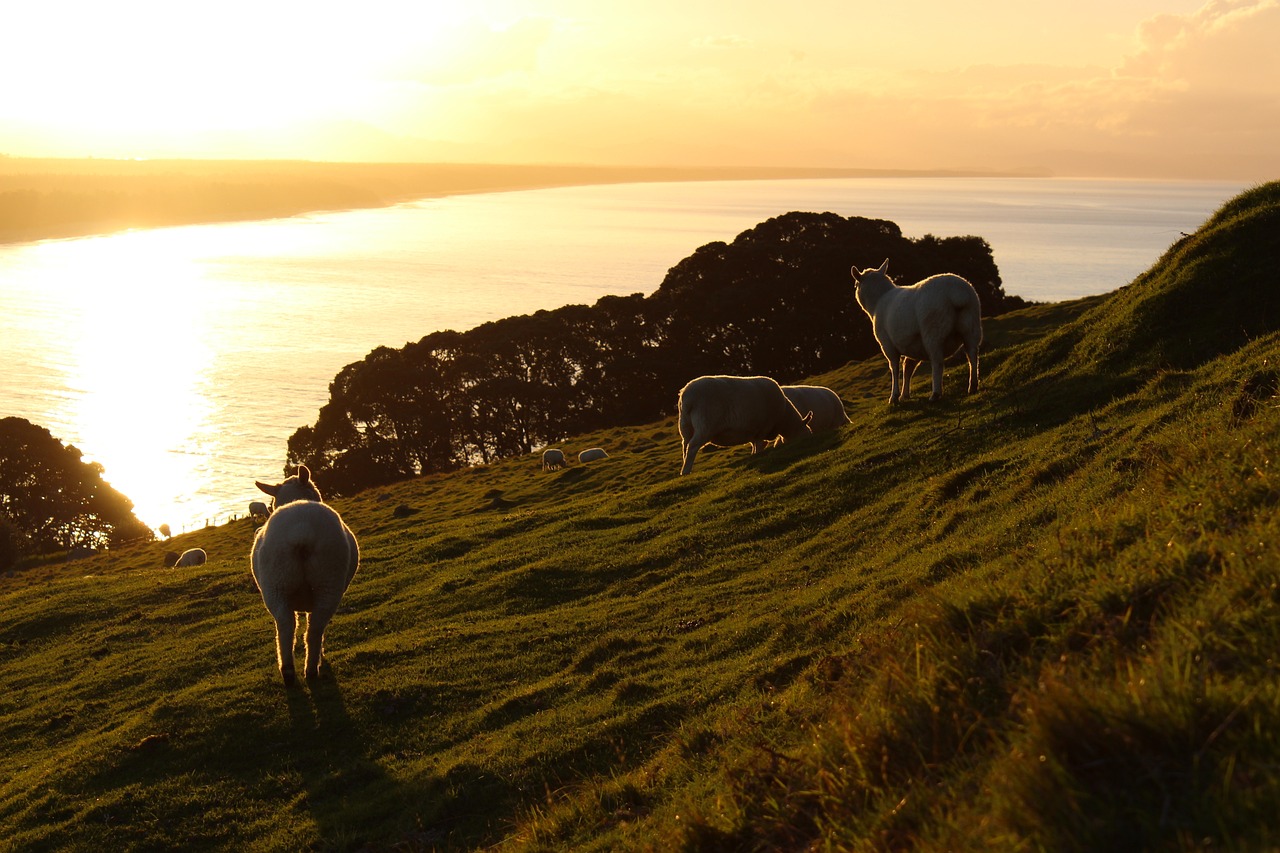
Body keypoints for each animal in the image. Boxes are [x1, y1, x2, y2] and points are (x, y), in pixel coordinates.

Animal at [250, 466, 360, 686]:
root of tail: (301, 532)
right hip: (329, 581)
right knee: (315, 628)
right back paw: (312, 668)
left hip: (276, 583)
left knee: (286, 625)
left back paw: (289, 671)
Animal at [675, 376, 814, 473]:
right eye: (805, 434)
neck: (784, 418)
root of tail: (686, 396)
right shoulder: (763, 430)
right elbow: (760, 446)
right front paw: (758, 455)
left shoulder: (754, 432)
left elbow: (754, 447)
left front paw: (753, 455)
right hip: (705, 425)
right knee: (692, 446)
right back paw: (686, 471)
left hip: (685, 426)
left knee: (685, 446)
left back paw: (684, 467)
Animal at [855, 257, 983, 404]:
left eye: (856, 284)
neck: (877, 300)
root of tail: (957, 293)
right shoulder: (913, 344)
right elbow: (908, 368)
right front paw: (904, 395)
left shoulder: (887, 344)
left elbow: (894, 367)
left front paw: (894, 397)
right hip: (971, 324)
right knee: (972, 353)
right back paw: (973, 386)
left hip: (933, 330)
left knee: (937, 361)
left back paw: (935, 393)